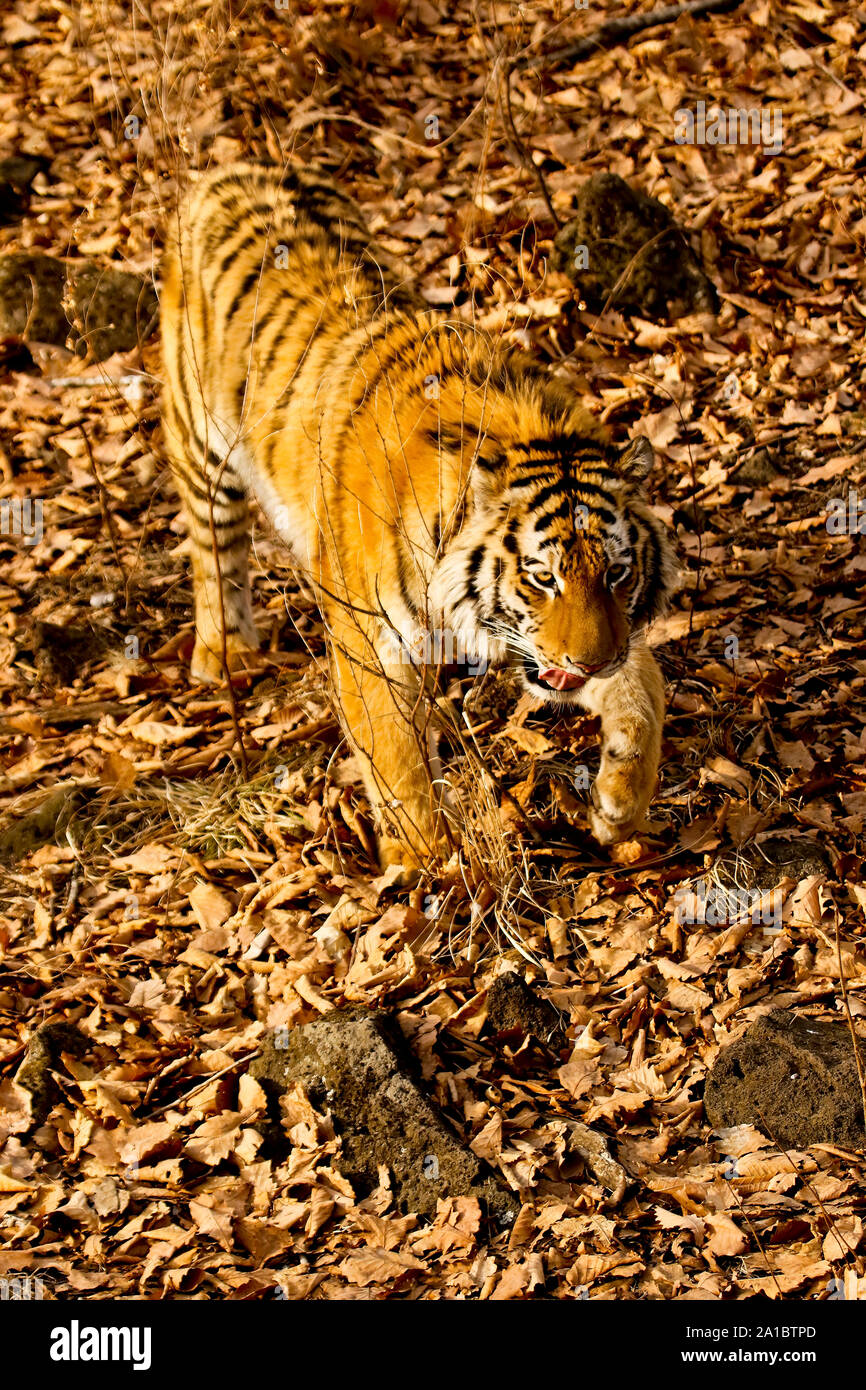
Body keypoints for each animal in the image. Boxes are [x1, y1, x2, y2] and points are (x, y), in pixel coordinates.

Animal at [160, 162, 676, 871]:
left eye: (618, 574)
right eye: (543, 577)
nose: (593, 664)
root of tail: (234, 162)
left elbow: (643, 690)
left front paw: (620, 801)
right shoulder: (368, 643)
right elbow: (395, 756)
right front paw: (425, 863)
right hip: (203, 449)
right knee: (214, 553)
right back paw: (223, 654)